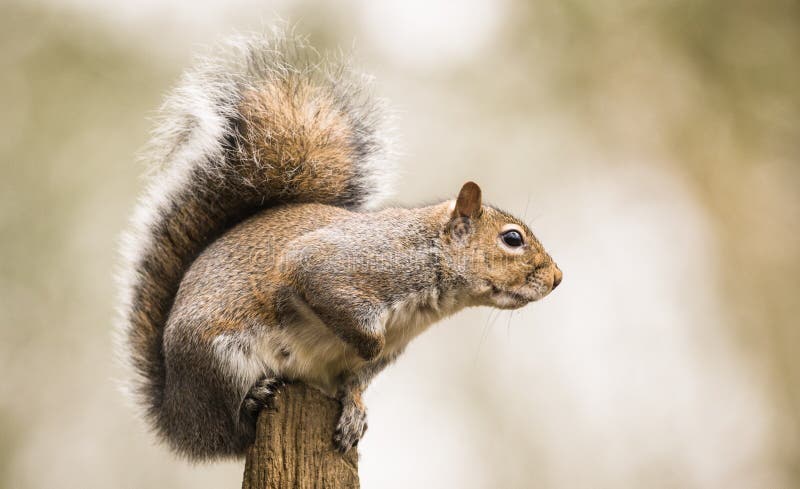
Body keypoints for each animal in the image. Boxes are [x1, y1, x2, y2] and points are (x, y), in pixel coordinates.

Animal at [118, 31, 562, 461]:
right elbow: (330, 295)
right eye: (512, 239)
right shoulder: (343, 266)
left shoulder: (388, 350)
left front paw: (354, 412)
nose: (558, 278)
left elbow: (356, 382)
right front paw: (365, 343)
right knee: (232, 430)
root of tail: (177, 418)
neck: (429, 260)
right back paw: (252, 401)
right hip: (220, 358)